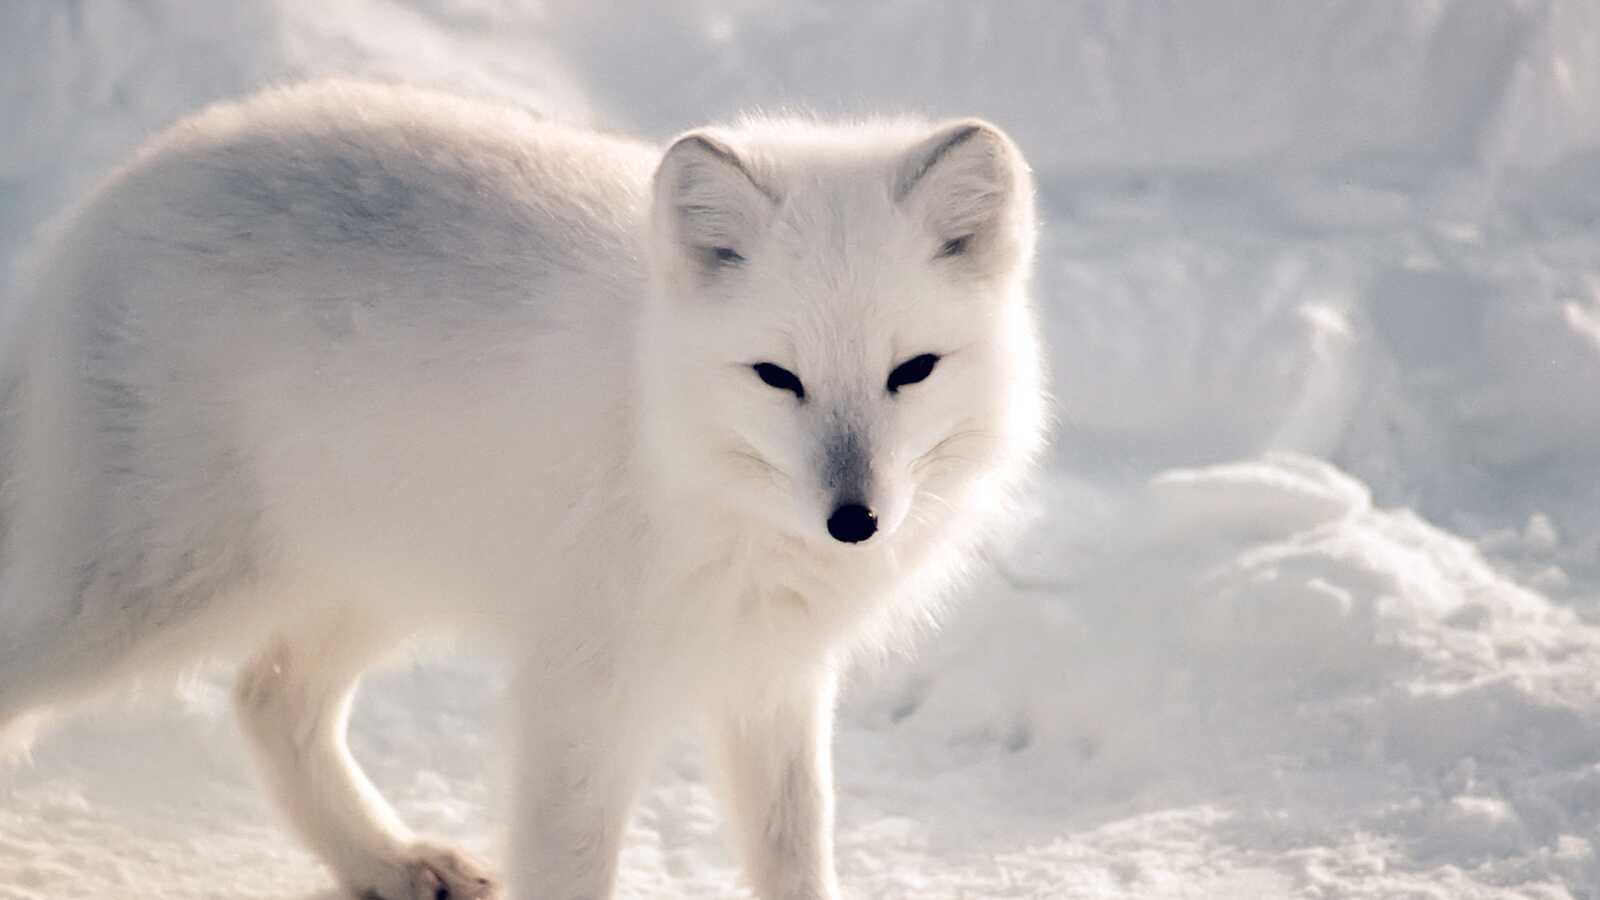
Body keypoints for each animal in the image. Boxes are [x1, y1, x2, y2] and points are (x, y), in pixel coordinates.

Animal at [0, 80, 1046, 899]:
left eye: (912, 371)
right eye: (777, 377)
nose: (854, 522)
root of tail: (97, 210)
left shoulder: (771, 679)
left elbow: (796, 856)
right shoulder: (580, 696)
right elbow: (573, 870)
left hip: (378, 575)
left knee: (268, 698)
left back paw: (388, 862)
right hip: (151, 593)